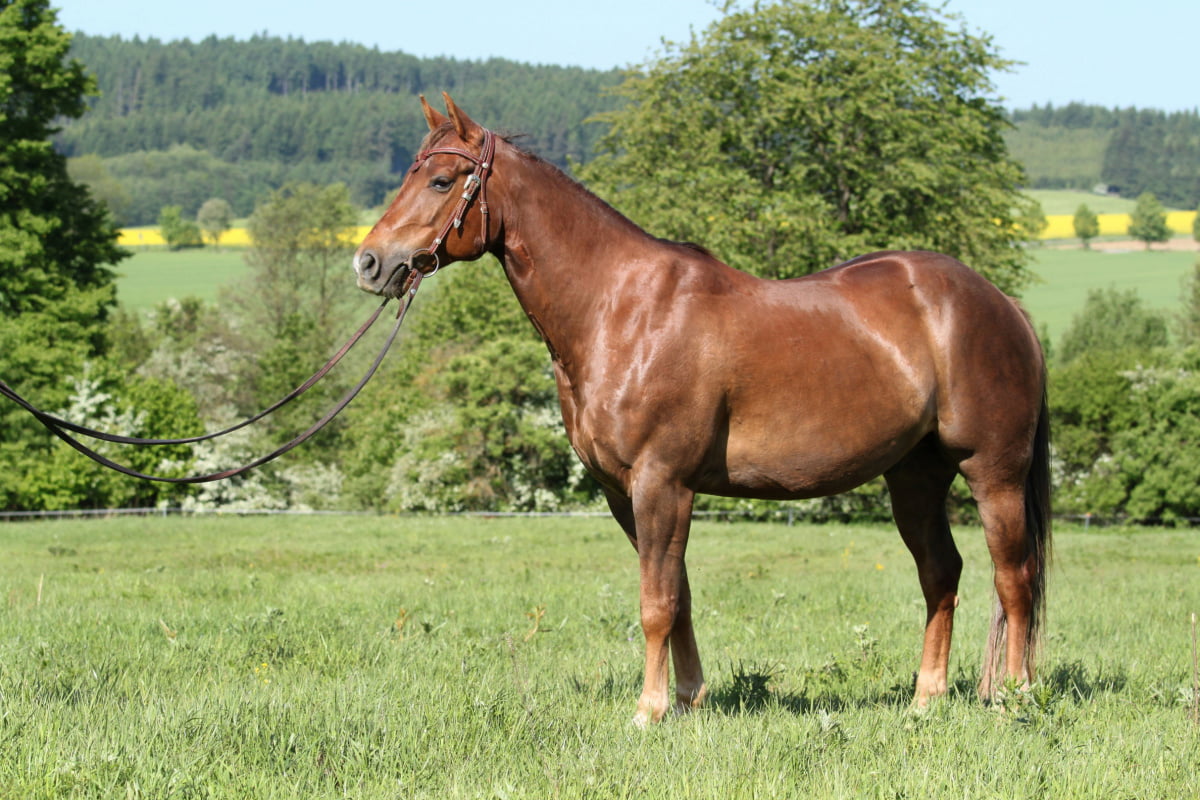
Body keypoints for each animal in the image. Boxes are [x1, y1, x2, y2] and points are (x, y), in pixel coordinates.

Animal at [353, 93, 1050, 726]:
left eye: (442, 180)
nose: (369, 263)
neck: (621, 309)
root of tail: (1001, 304)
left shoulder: (662, 482)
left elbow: (656, 603)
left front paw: (650, 709)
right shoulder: (626, 493)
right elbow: (678, 595)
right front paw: (689, 697)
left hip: (993, 473)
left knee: (1014, 577)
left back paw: (1014, 697)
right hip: (915, 476)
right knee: (942, 572)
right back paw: (925, 701)